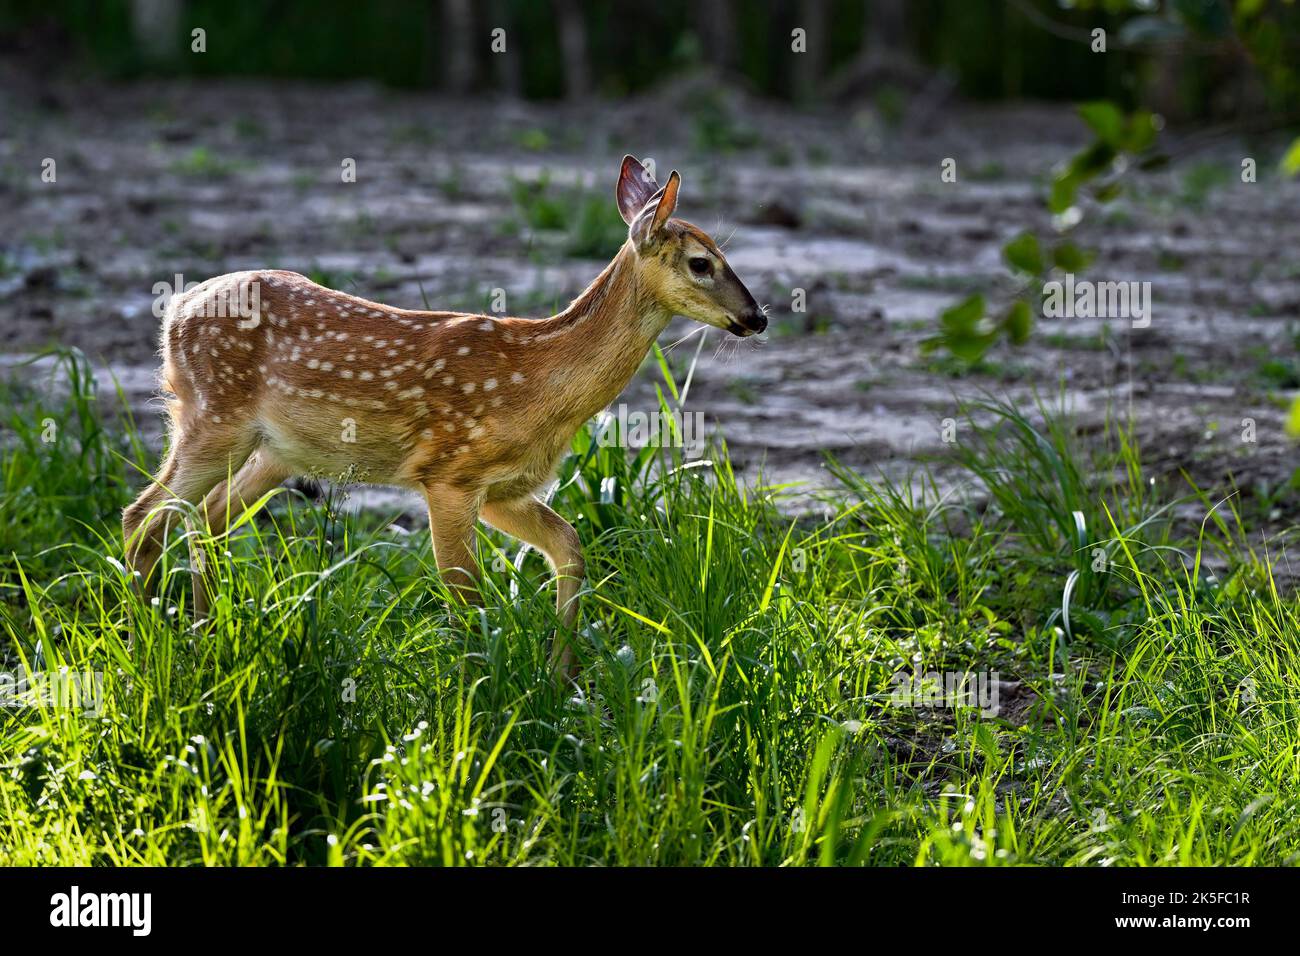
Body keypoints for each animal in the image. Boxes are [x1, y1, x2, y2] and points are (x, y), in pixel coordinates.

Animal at [122, 155, 766, 679]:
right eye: (702, 262)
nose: (758, 316)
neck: (538, 382)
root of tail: (176, 308)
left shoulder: (504, 487)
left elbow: (570, 547)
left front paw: (562, 681)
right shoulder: (448, 473)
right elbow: (468, 598)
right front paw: (475, 705)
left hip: (275, 450)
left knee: (203, 520)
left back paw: (204, 640)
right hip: (213, 416)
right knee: (144, 517)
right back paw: (150, 651)